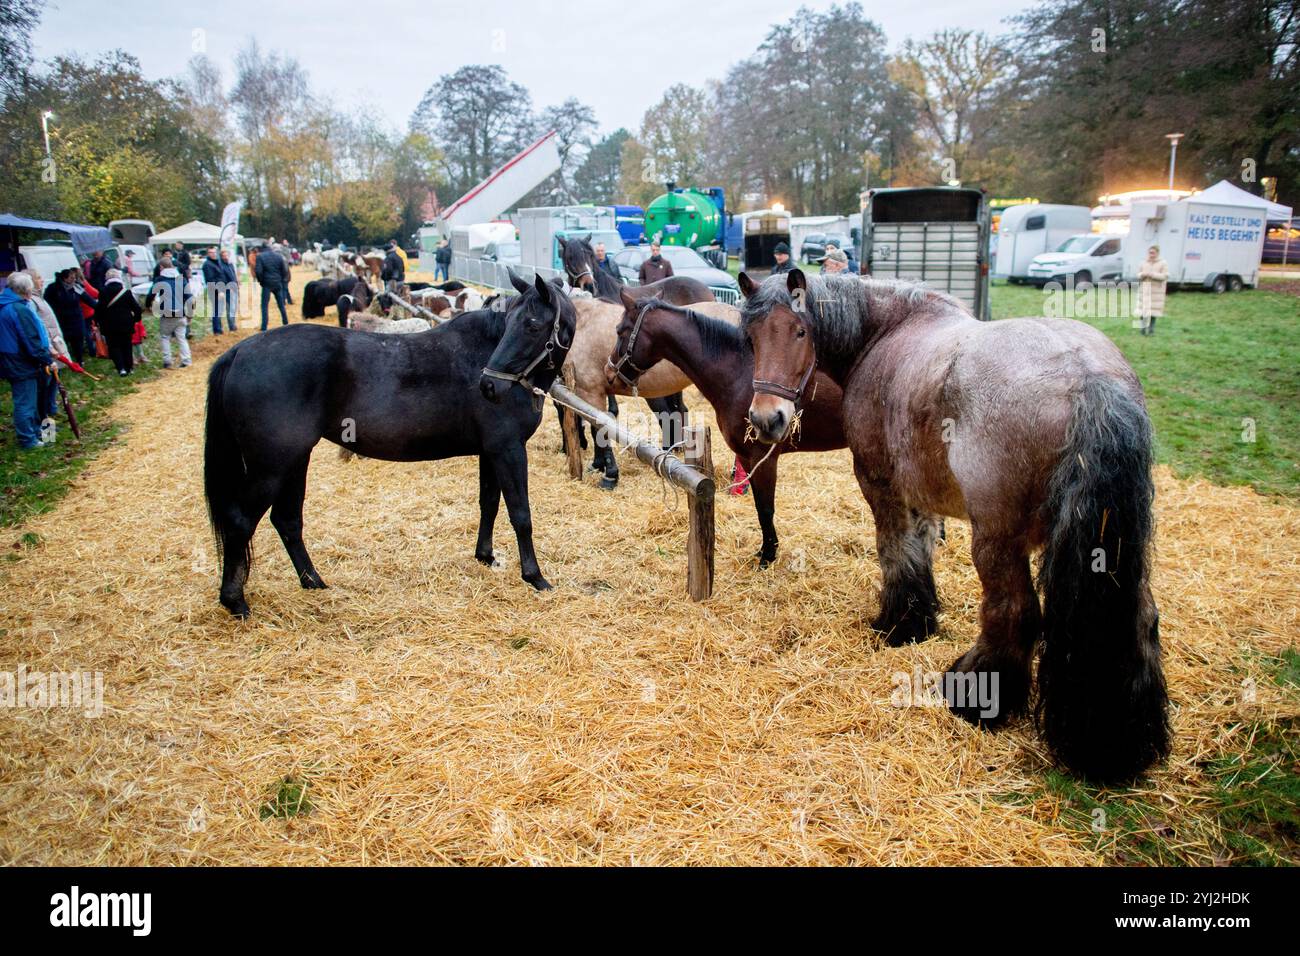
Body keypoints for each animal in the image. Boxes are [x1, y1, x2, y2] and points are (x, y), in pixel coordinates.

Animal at [203, 270, 576, 618]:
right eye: (513, 321)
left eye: (531, 325)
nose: (489, 386)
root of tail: (238, 353)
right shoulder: (508, 449)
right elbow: (520, 514)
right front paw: (535, 577)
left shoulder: (490, 451)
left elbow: (489, 505)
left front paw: (485, 556)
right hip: (271, 466)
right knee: (241, 521)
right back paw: (235, 601)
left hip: (294, 460)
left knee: (287, 520)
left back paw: (313, 582)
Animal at [605, 291, 845, 566]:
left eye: (620, 331)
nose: (609, 372)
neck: (739, 374)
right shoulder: (747, 458)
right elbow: (758, 506)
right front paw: (765, 551)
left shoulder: (764, 458)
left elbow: (766, 509)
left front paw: (768, 556)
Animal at [738, 269, 1169, 784]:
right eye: (750, 337)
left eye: (799, 331)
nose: (767, 418)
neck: (887, 331)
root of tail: (1089, 378)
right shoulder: (922, 494)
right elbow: (920, 548)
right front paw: (920, 617)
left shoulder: (880, 484)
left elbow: (894, 550)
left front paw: (898, 623)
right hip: (1112, 551)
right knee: (1143, 617)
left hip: (997, 541)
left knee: (1015, 612)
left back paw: (973, 694)